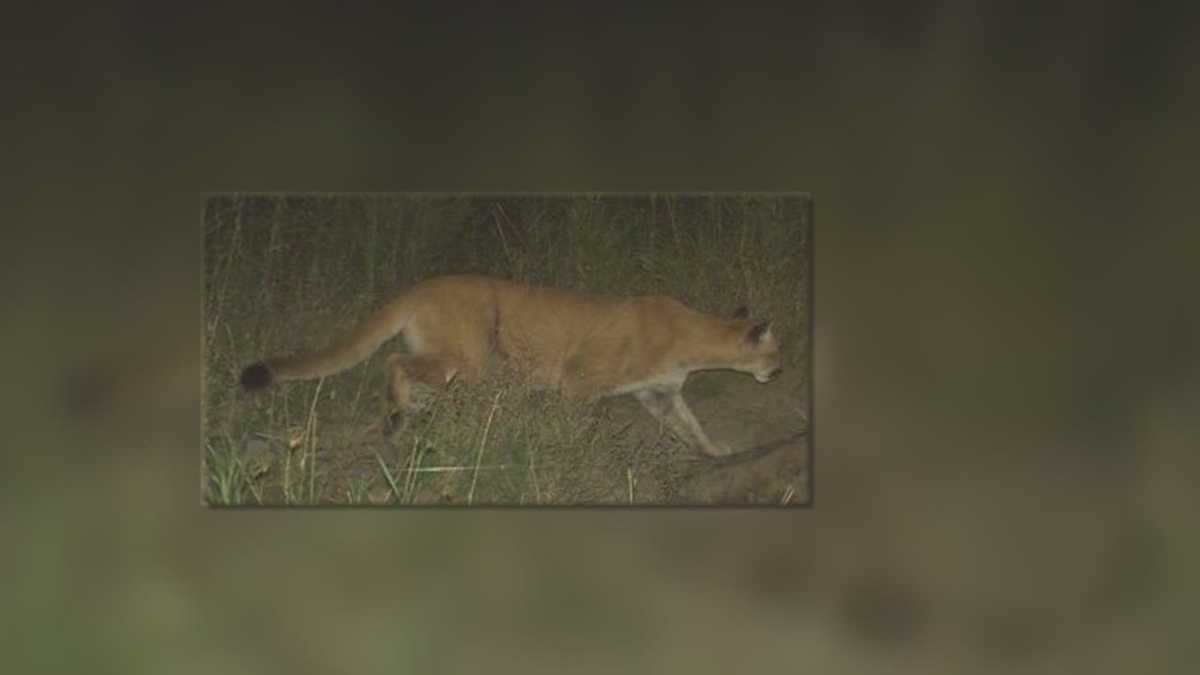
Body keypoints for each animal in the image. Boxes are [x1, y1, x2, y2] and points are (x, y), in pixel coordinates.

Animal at [240, 274, 782, 457]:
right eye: (777, 354)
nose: (778, 372)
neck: (694, 335)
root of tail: (422, 284)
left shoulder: (660, 393)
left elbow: (691, 424)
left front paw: (715, 451)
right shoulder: (580, 380)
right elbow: (577, 424)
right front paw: (570, 448)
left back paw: (411, 419)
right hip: (470, 358)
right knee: (396, 359)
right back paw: (399, 417)